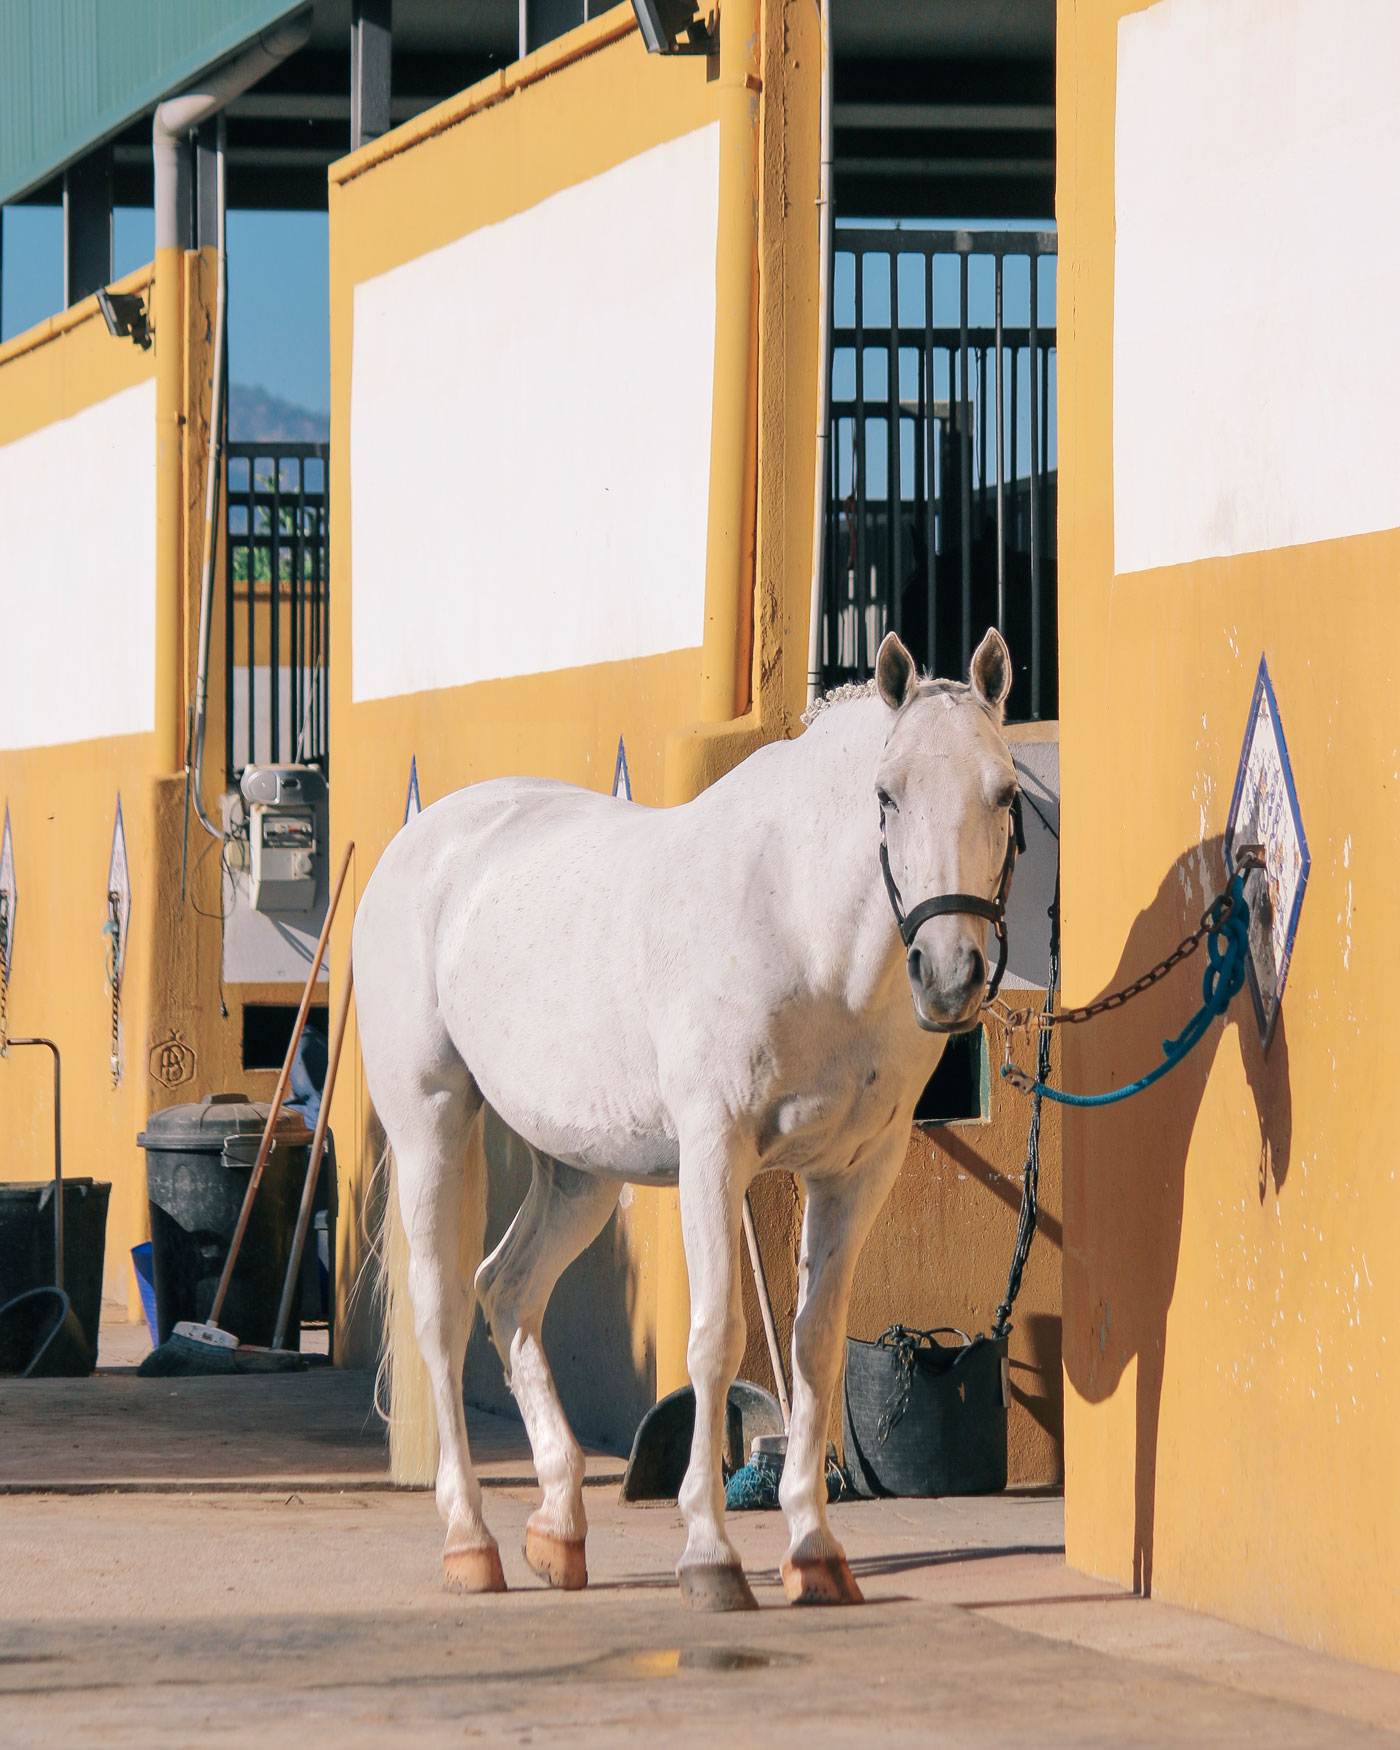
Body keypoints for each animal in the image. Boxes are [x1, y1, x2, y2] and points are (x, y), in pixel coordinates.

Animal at [353, 626, 1022, 1610]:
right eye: (887, 793)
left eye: (1004, 791)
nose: (948, 975)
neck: (801, 925)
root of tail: (421, 842)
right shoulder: (717, 1155)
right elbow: (715, 1342)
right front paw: (710, 1556)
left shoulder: (855, 1172)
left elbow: (814, 1349)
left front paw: (814, 1551)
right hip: (431, 1124)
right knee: (443, 1315)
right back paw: (471, 1542)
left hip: (580, 1172)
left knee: (507, 1289)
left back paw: (558, 1530)